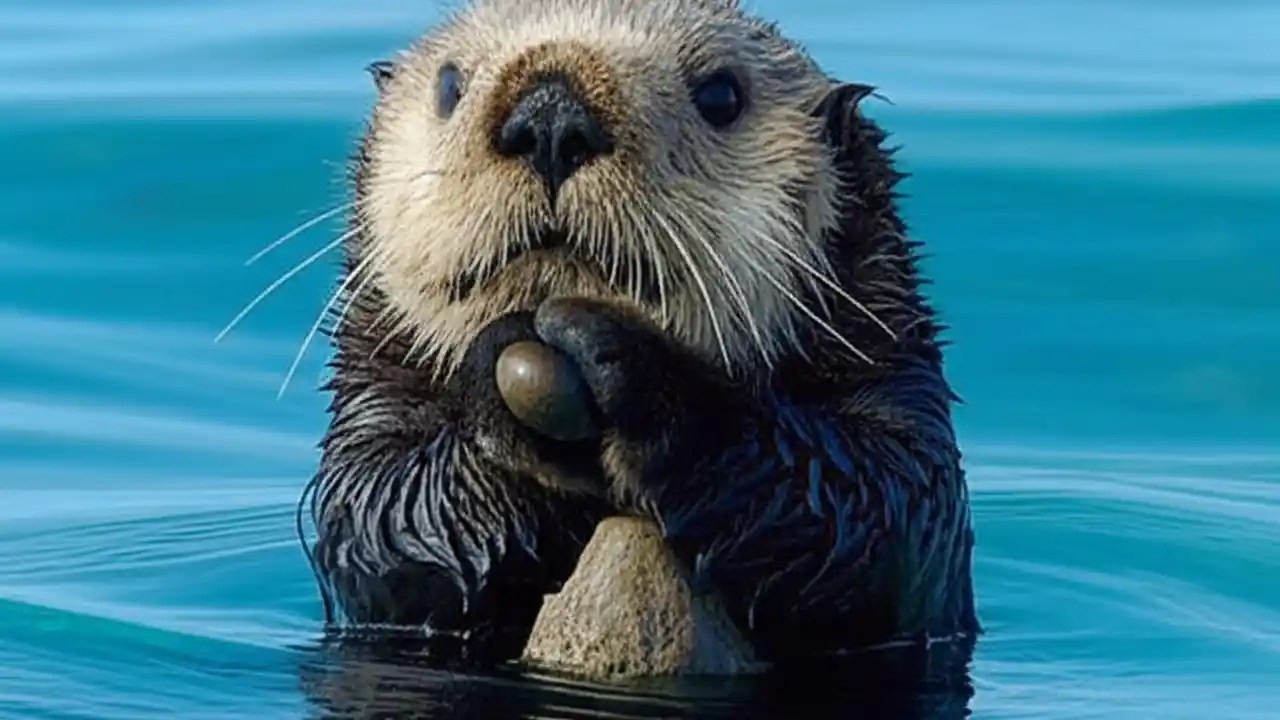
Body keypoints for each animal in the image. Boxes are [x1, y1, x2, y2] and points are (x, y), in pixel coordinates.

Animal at [302, 0, 978, 668]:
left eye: (722, 95)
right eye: (448, 86)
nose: (550, 115)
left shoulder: (888, 368)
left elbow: (878, 515)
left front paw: (631, 367)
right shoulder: (374, 398)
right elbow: (382, 523)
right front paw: (501, 373)